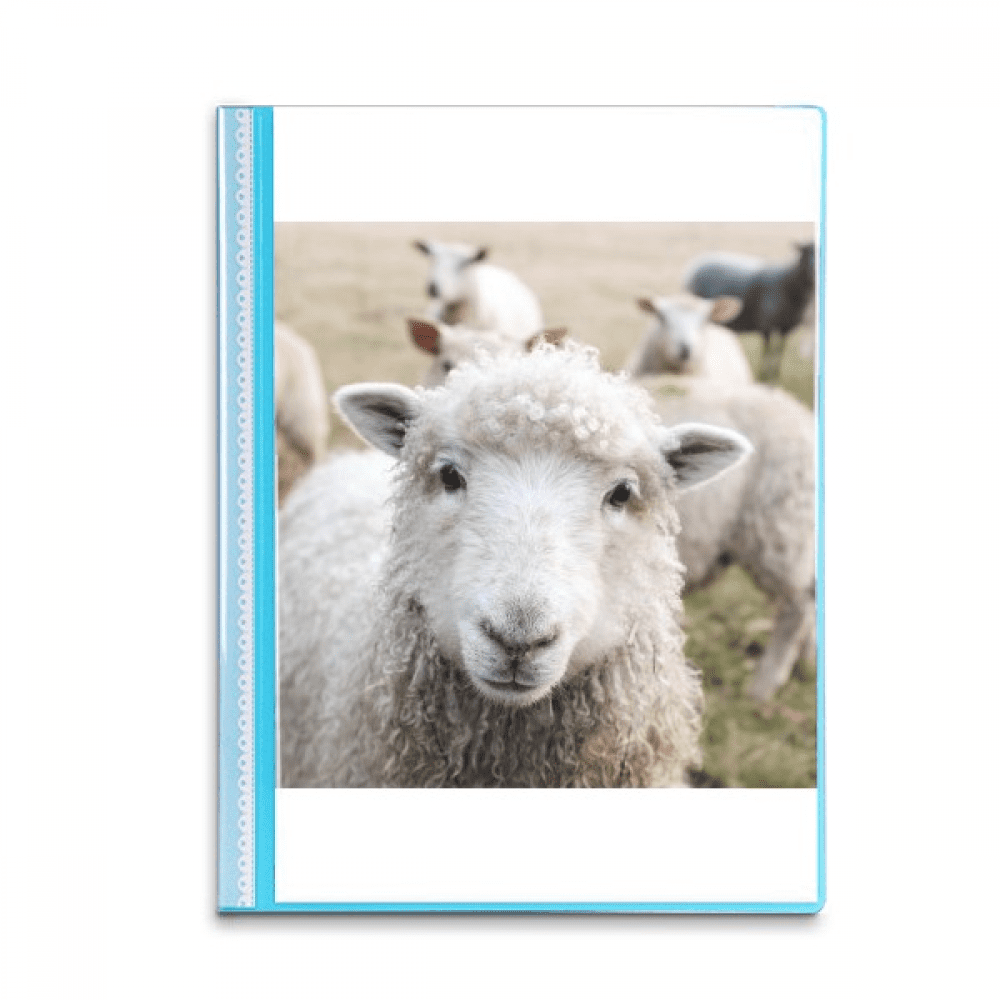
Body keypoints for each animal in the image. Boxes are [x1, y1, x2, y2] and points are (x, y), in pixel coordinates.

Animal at [683, 243, 816, 378]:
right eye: (806, 252)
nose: (813, 271)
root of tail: (694, 264)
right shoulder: (766, 324)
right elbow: (767, 349)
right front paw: (764, 373)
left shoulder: (786, 328)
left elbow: (779, 350)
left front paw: (775, 373)